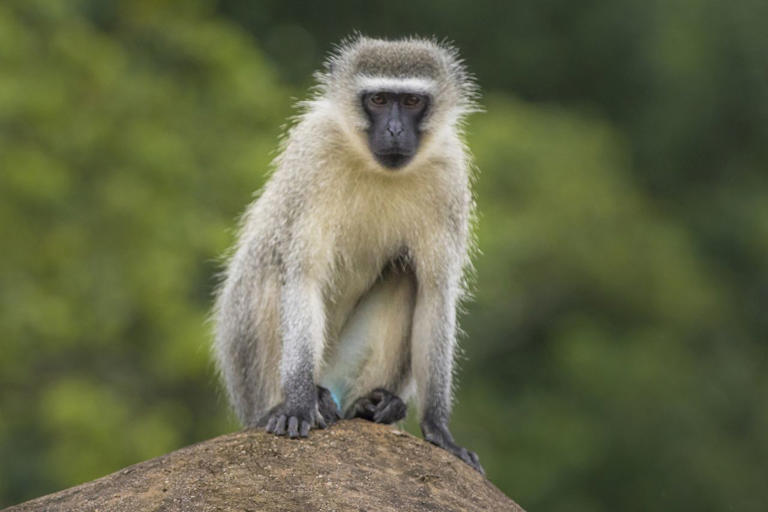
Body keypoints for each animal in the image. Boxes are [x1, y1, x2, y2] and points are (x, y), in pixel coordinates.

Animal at [212, 35, 483, 473]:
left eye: (411, 102)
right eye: (378, 99)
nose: (394, 129)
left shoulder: (449, 174)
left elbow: (435, 292)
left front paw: (438, 427)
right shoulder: (315, 155)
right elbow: (303, 275)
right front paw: (298, 404)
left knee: (406, 273)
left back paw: (370, 405)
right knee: (271, 265)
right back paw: (301, 401)